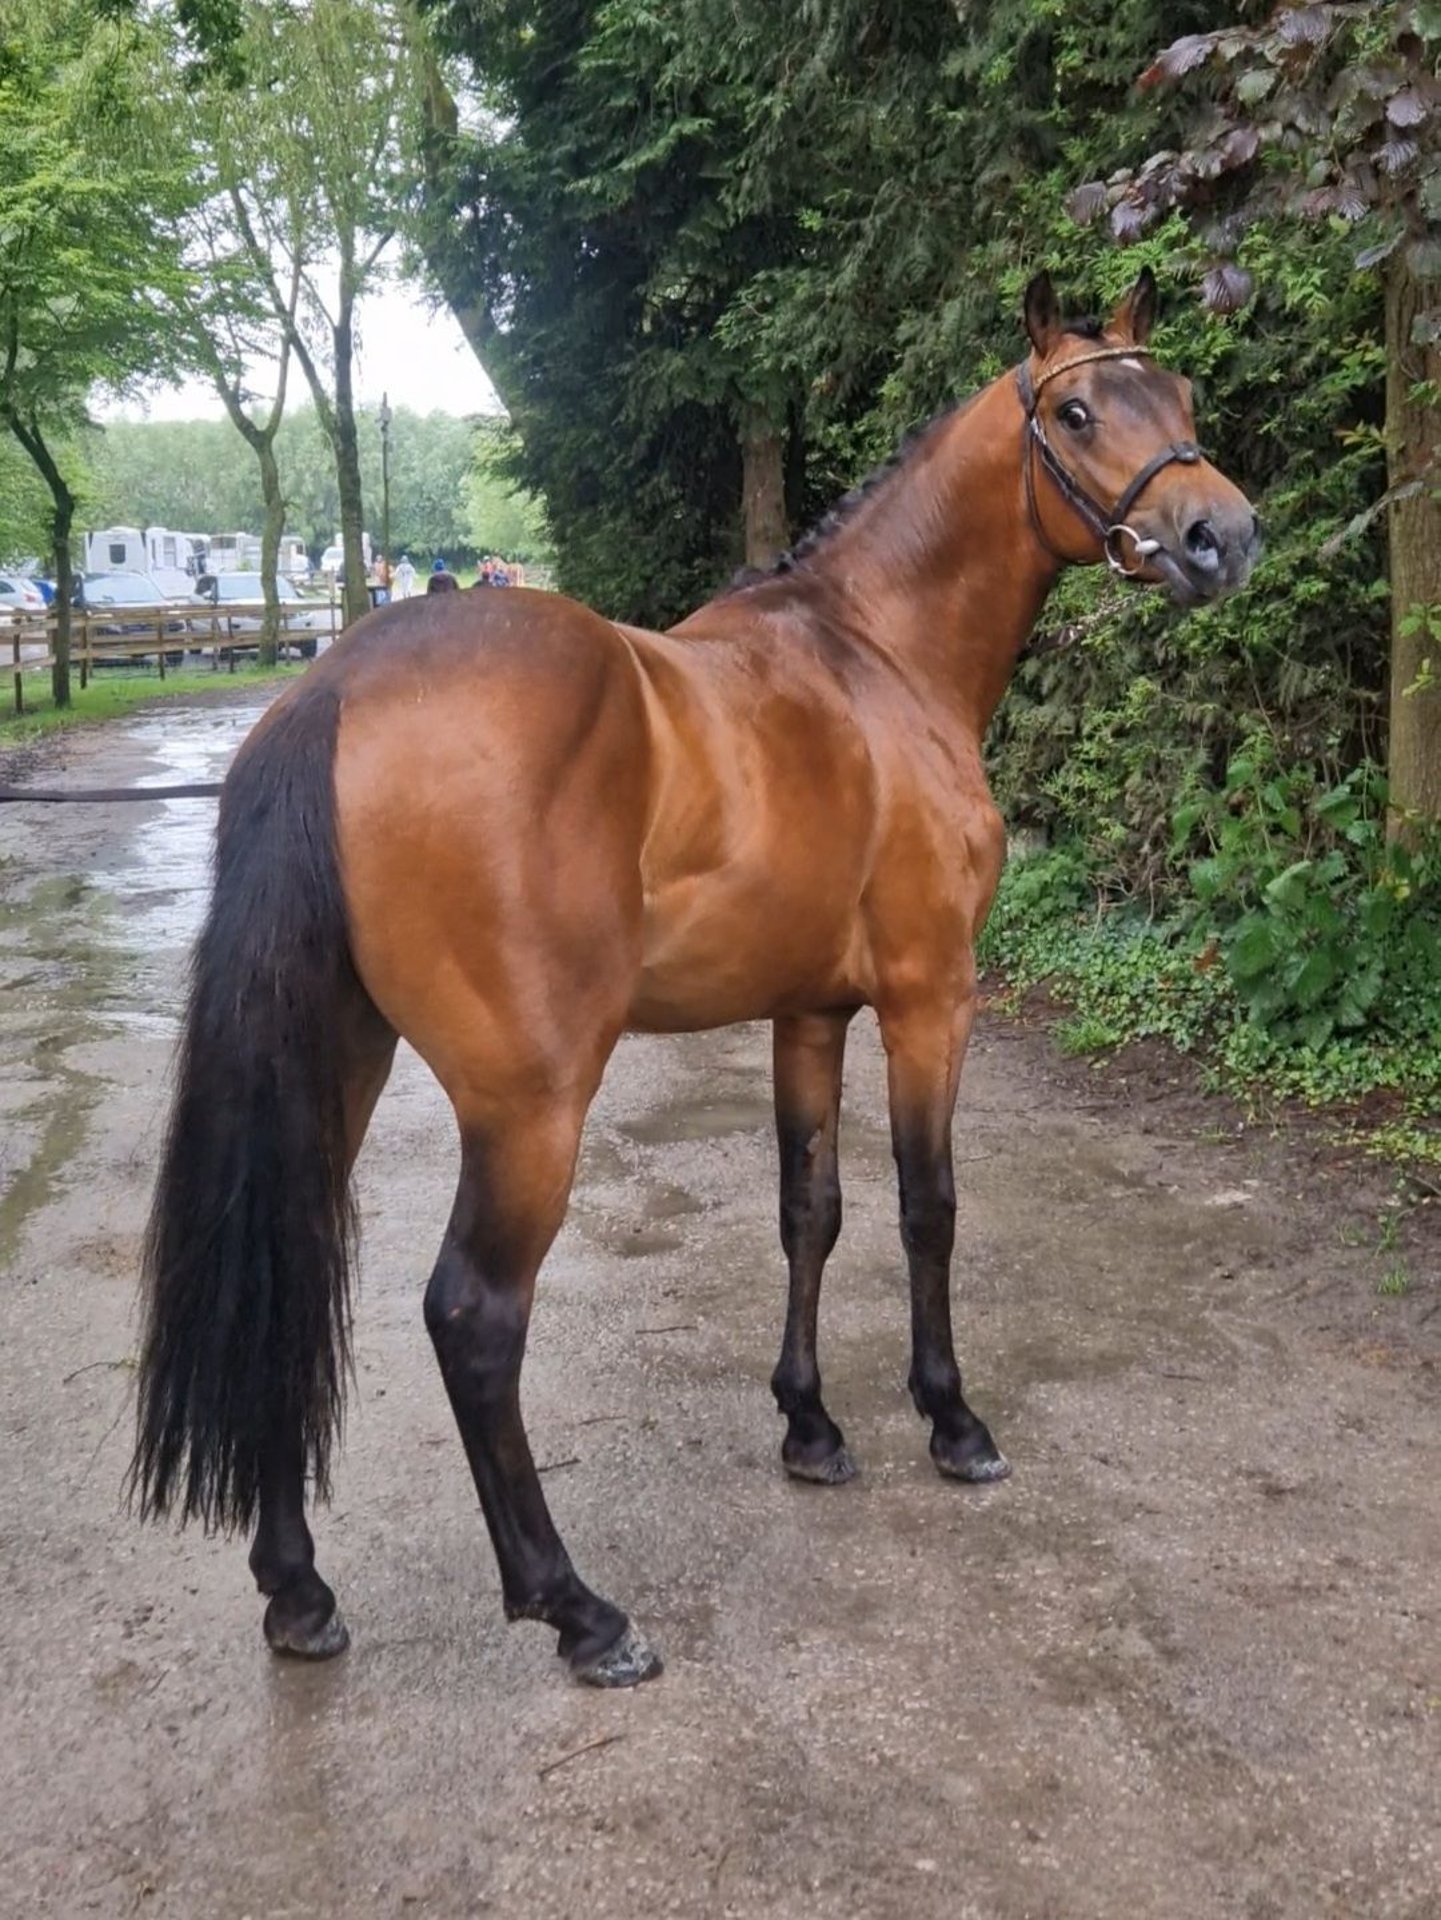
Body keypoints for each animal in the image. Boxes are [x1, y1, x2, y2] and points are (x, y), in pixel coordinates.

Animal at [131, 271, 1259, 1688]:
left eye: (1179, 394)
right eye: (1075, 410)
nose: (1222, 536)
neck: (875, 658)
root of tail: (333, 687)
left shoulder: (809, 1011)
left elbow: (809, 1209)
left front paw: (810, 1427)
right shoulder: (930, 997)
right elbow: (927, 1207)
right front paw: (950, 1421)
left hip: (340, 1063)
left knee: (290, 1275)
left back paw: (297, 1589)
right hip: (530, 1107)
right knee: (474, 1317)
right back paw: (574, 1607)